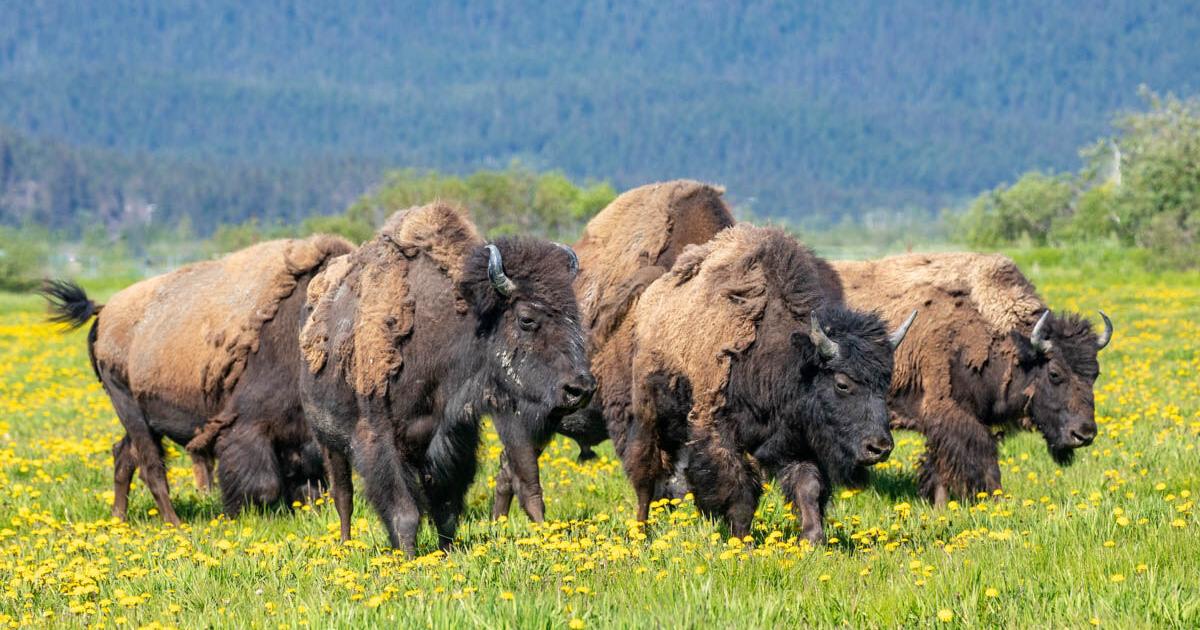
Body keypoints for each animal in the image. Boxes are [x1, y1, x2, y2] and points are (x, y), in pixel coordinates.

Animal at [41, 235, 352, 523]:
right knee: (151, 468)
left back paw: (120, 519)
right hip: (130, 410)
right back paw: (174, 524)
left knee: (124, 456)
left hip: (144, 419)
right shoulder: (247, 424)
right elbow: (264, 483)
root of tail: (104, 312)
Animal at [299, 202, 594, 553]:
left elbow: (448, 505)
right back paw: (345, 544)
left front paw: (448, 550)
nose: (580, 388)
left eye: (574, 314)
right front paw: (410, 557)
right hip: (328, 441)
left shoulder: (454, 434)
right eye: (526, 319)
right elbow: (403, 511)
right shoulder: (377, 438)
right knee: (343, 495)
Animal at [622, 225, 915, 542]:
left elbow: (808, 487)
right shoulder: (720, 433)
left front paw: (812, 538)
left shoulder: (795, 440)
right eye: (842, 383)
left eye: (885, 383)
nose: (880, 447)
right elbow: (740, 492)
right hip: (651, 415)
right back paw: (641, 532)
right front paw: (742, 542)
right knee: (646, 474)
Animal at [832, 252, 1113, 505]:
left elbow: (939, 467)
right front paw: (996, 501)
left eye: (1095, 373)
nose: (1084, 434)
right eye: (1054, 373)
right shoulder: (953, 415)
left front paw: (939, 505)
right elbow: (982, 458)